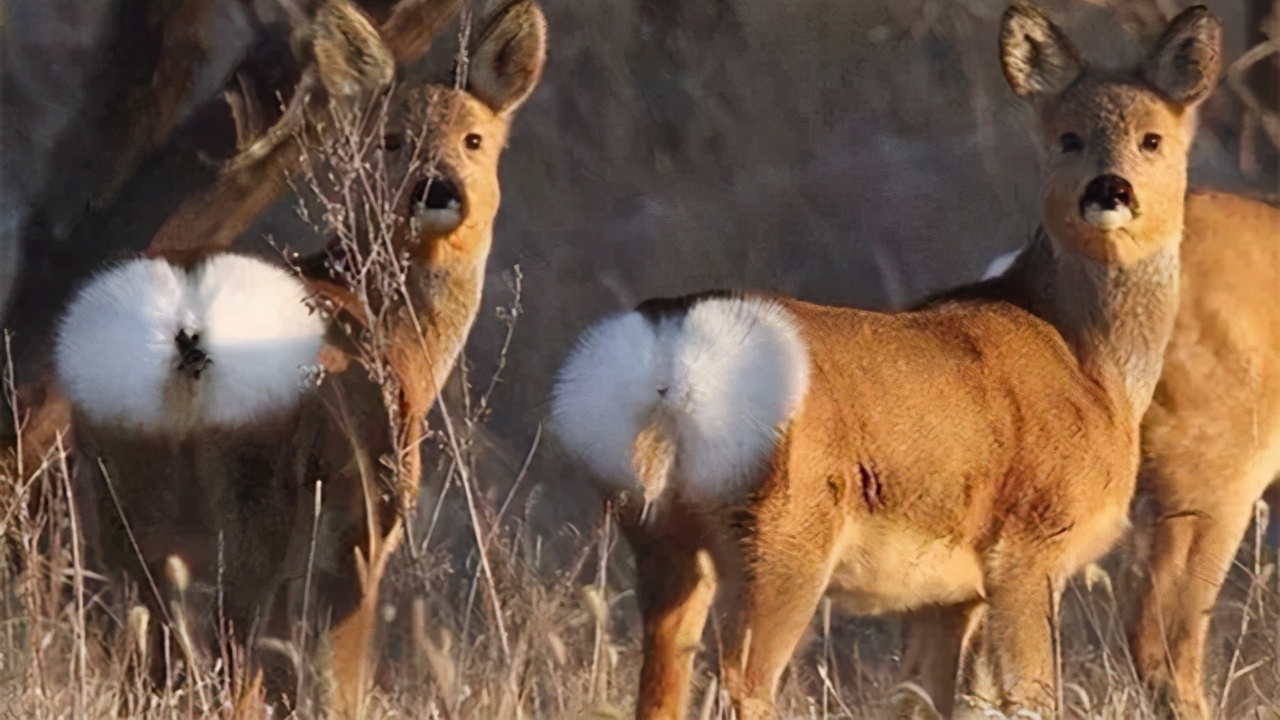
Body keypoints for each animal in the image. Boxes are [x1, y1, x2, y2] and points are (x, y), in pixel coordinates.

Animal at [45, 0, 547, 715]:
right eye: (390, 139)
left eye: (474, 139)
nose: (437, 188)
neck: (400, 338)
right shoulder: (364, 520)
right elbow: (336, 675)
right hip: (254, 491)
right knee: (227, 652)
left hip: (122, 496)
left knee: (152, 655)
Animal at [548, 3, 1221, 718]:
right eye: (1066, 137)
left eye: (1152, 139)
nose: (1109, 189)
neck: (1092, 366)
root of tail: (670, 352)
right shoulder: (1030, 546)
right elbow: (1032, 696)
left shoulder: (947, 597)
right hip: (782, 538)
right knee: (745, 685)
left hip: (658, 534)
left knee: (660, 686)